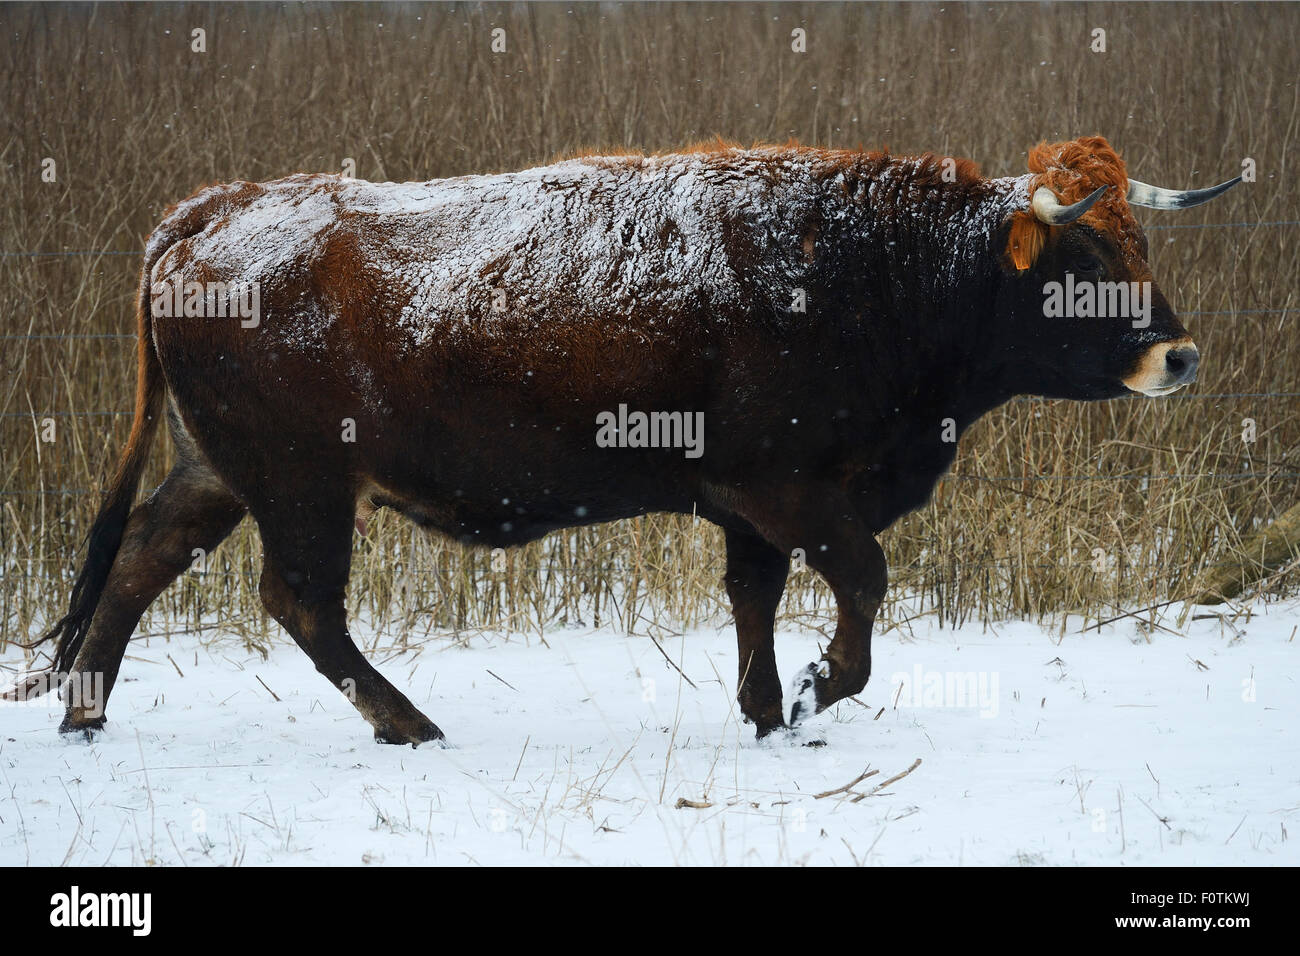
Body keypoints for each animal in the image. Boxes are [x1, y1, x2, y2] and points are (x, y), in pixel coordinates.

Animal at [10, 135, 1238, 746]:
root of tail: (217, 206)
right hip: (300, 483)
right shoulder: (789, 487)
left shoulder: (752, 509)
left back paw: (85, 713)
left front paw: (764, 710)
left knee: (141, 561)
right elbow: (862, 581)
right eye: (1085, 256)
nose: (1177, 356)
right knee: (298, 601)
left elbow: (756, 597)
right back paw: (409, 723)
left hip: (221, 471)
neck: (865, 265)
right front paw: (817, 688)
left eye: (1140, 243)